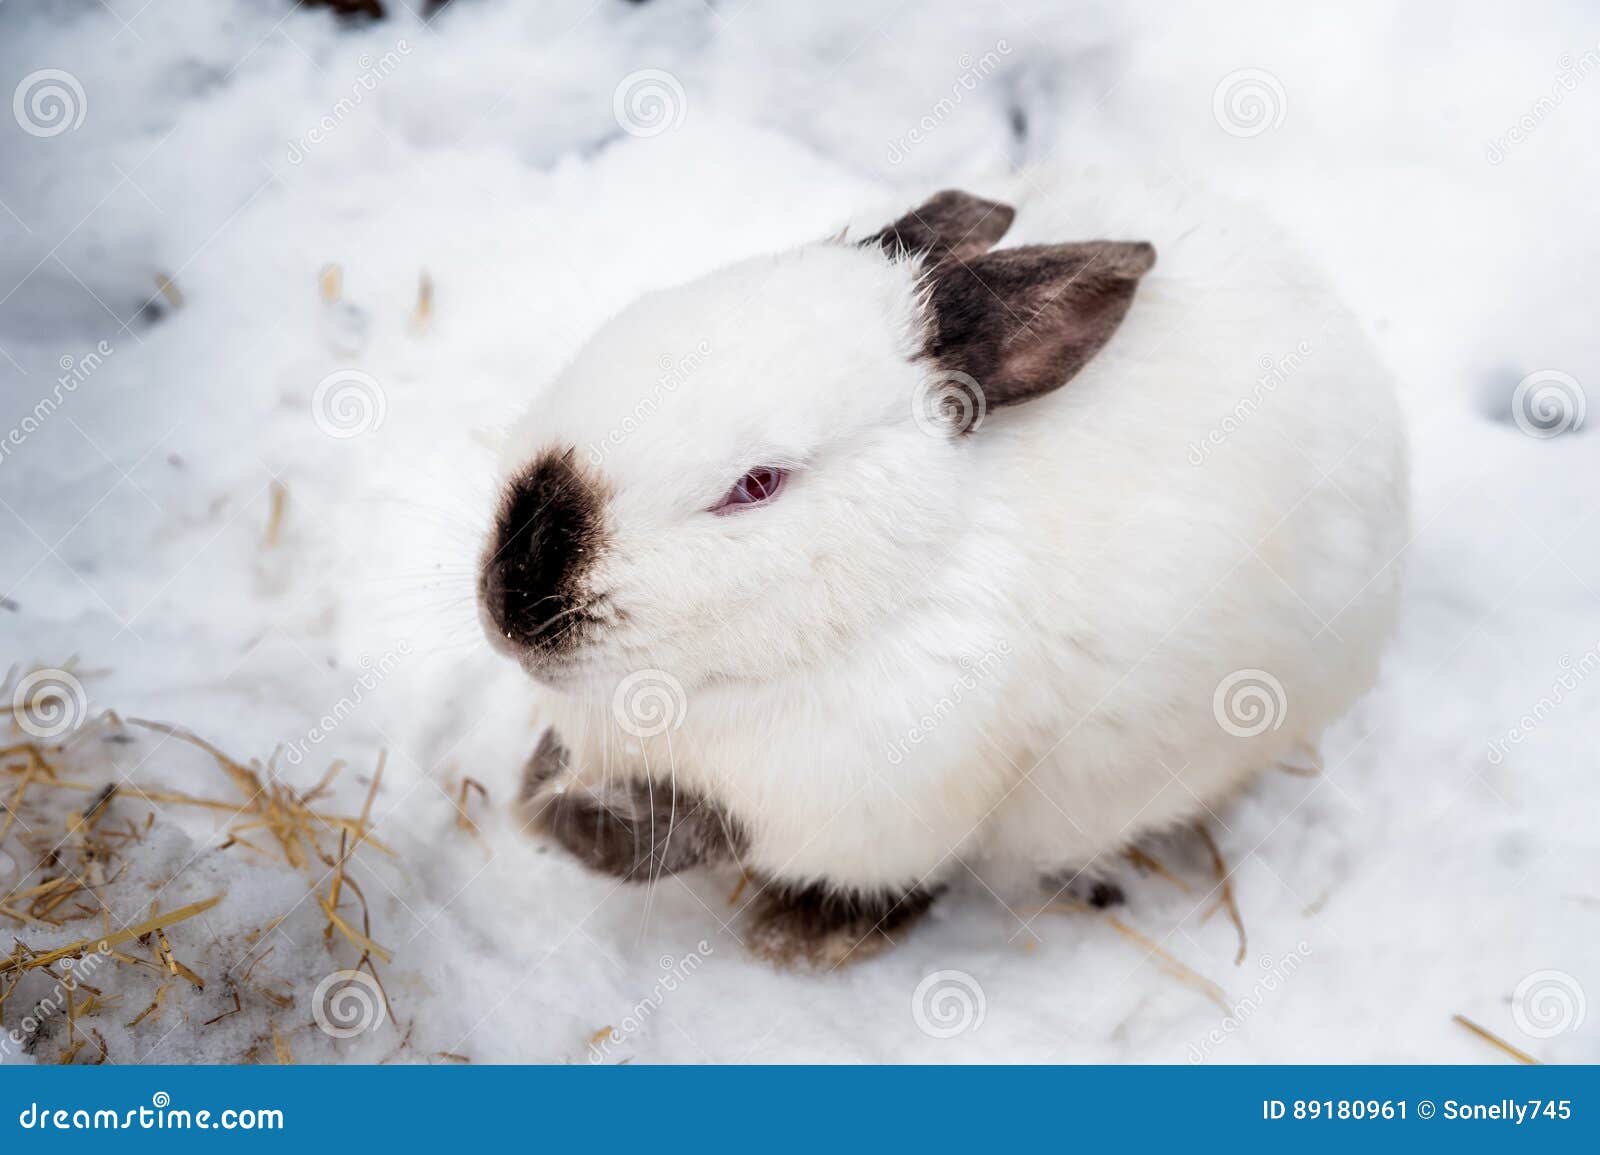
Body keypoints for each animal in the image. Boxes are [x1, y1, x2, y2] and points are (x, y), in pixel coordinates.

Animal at [479, 187, 1408, 964]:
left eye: (757, 484)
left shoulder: (862, 797)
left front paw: (564, 821)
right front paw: (539, 789)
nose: (512, 602)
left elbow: (712, 832)